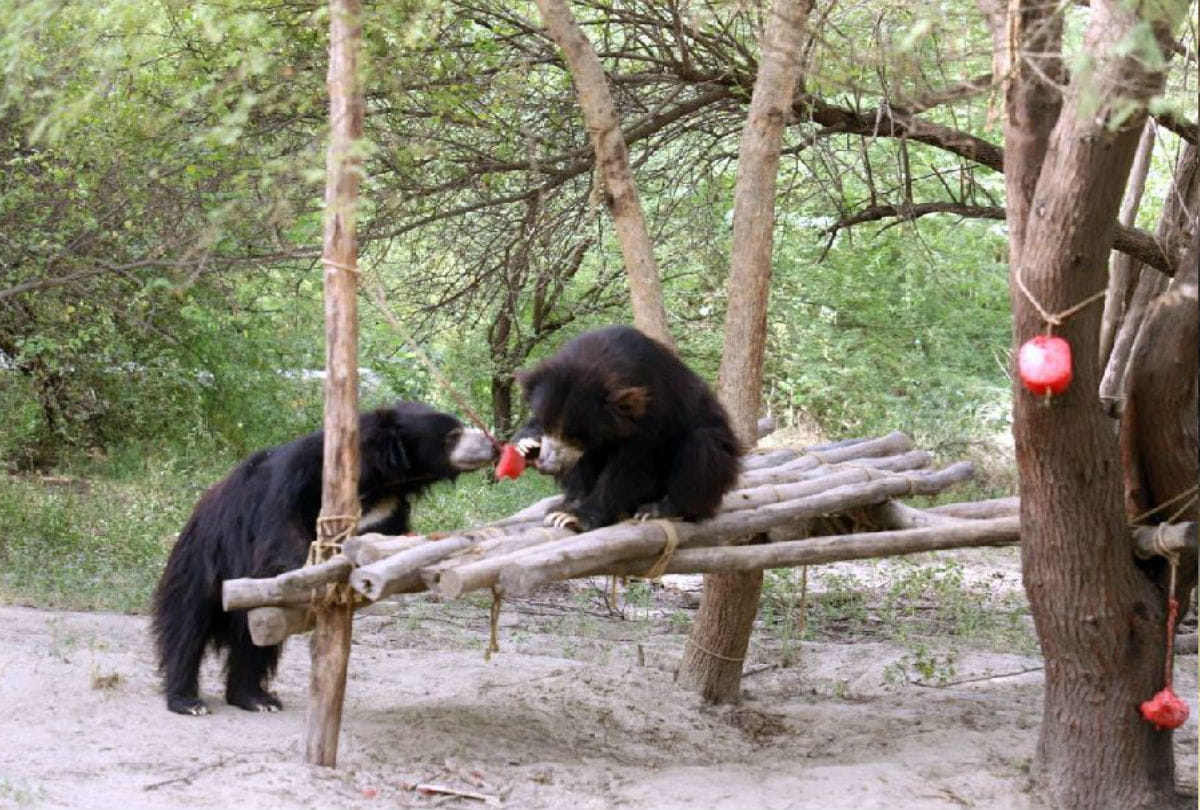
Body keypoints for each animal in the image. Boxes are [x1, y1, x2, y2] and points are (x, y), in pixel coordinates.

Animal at [151, 402, 496, 716]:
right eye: (453, 434)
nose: (492, 445)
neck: (380, 478)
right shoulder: (298, 475)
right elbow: (282, 527)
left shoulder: (388, 504)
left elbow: (380, 534)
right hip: (202, 564)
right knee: (187, 628)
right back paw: (188, 700)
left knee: (254, 644)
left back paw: (255, 698)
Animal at [513, 325, 741, 532]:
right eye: (547, 425)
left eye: (575, 437)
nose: (546, 466)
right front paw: (527, 444)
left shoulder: (650, 411)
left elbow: (629, 467)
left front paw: (574, 517)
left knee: (703, 446)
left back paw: (662, 509)